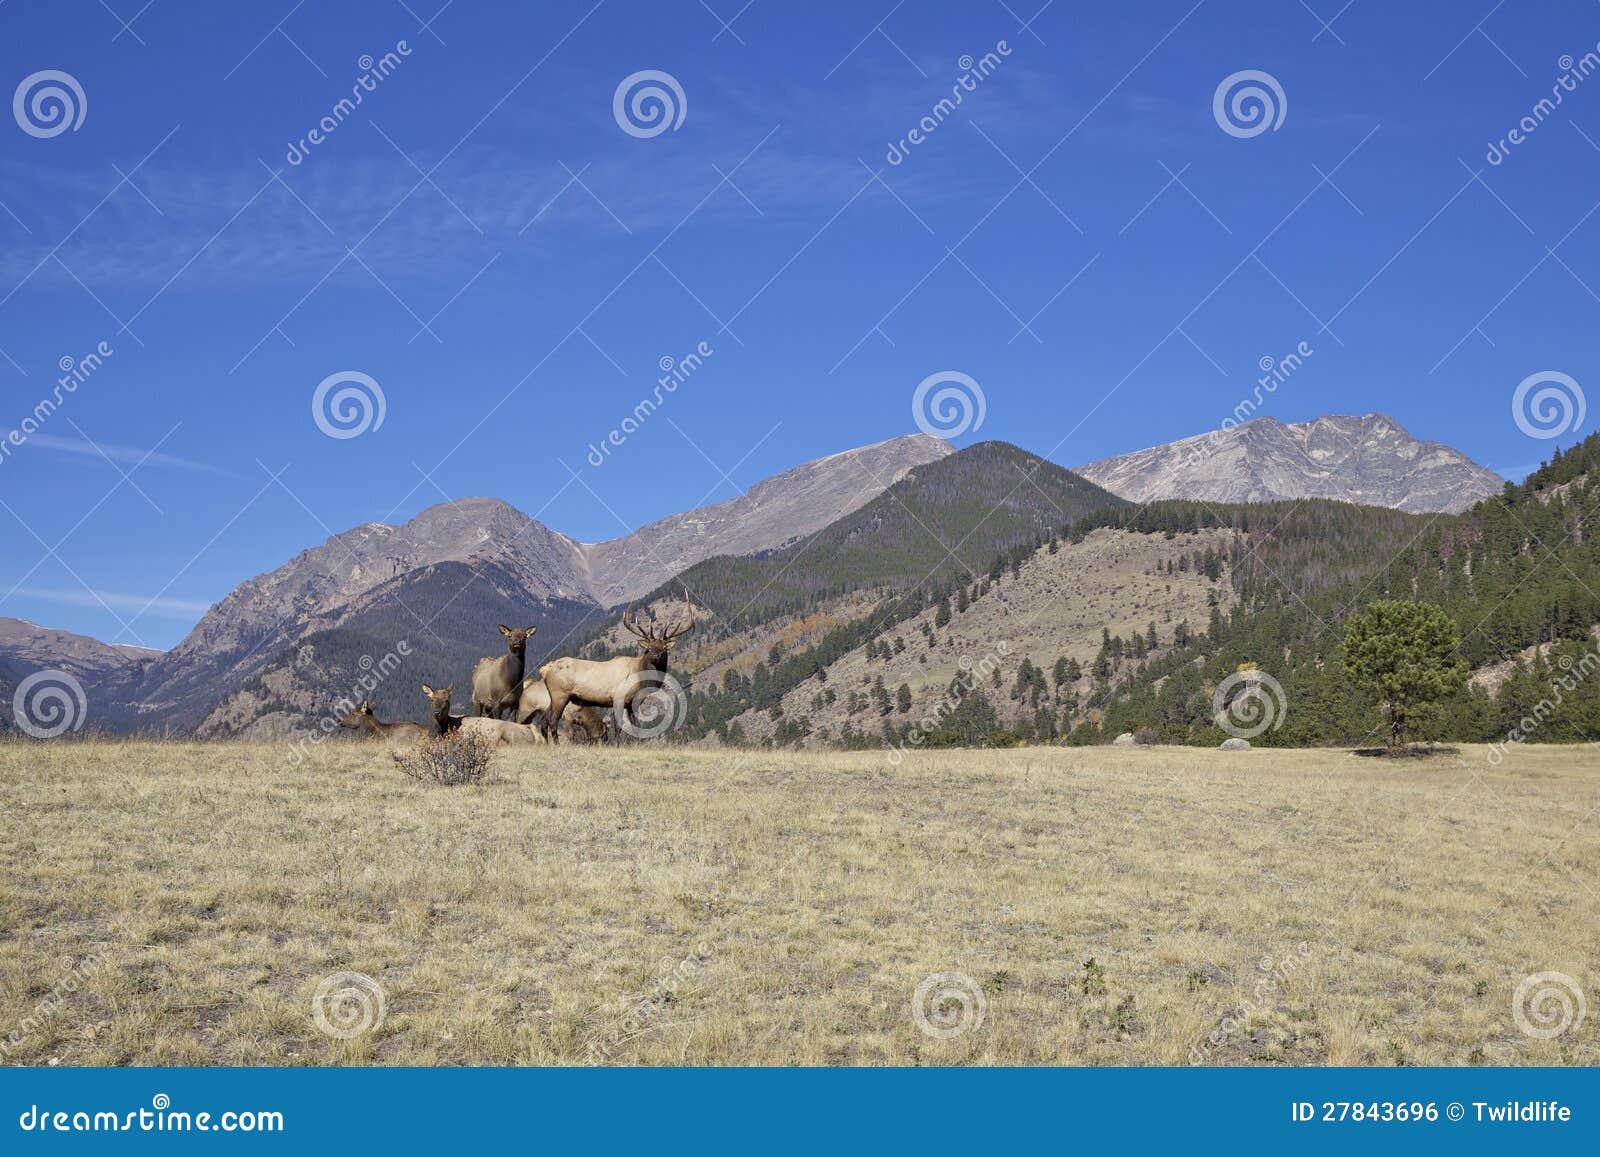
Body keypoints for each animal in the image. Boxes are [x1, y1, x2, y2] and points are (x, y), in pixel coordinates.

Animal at [538, 590, 694, 743]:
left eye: (664, 648)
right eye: (649, 648)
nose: (656, 656)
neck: (642, 680)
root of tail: (545, 669)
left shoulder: (633, 703)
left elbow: (636, 727)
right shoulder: (618, 697)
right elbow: (618, 727)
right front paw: (619, 745)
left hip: (553, 697)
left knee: (544, 719)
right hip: (560, 694)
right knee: (552, 721)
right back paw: (556, 744)